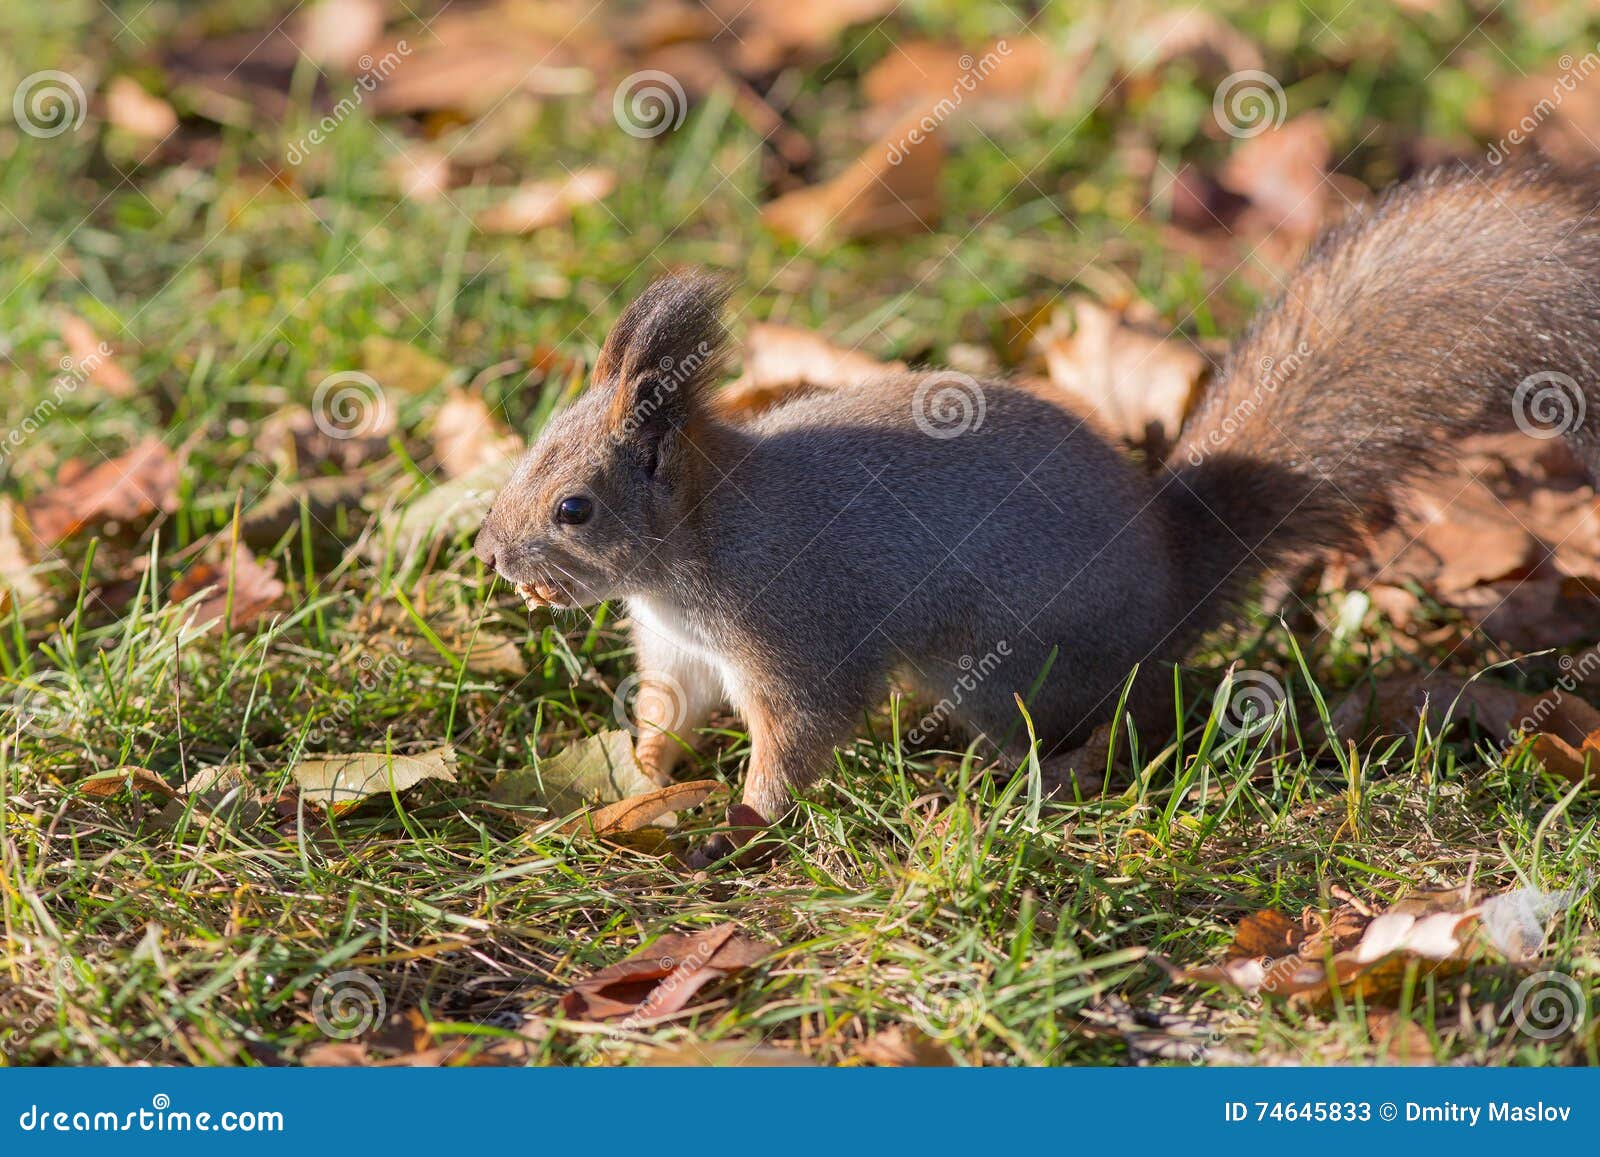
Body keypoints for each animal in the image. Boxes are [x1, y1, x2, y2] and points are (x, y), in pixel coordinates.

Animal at [474, 159, 1600, 862]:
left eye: (574, 506)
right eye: (528, 449)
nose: (493, 556)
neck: (697, 551)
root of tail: (1172, 582)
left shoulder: (799, 634)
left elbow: (794, 743)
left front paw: (740, 824)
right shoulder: (680, 650)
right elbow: (666, 712)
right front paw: (641, 777)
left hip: (1015, 665)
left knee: (1101, 732)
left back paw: (1008, 785)